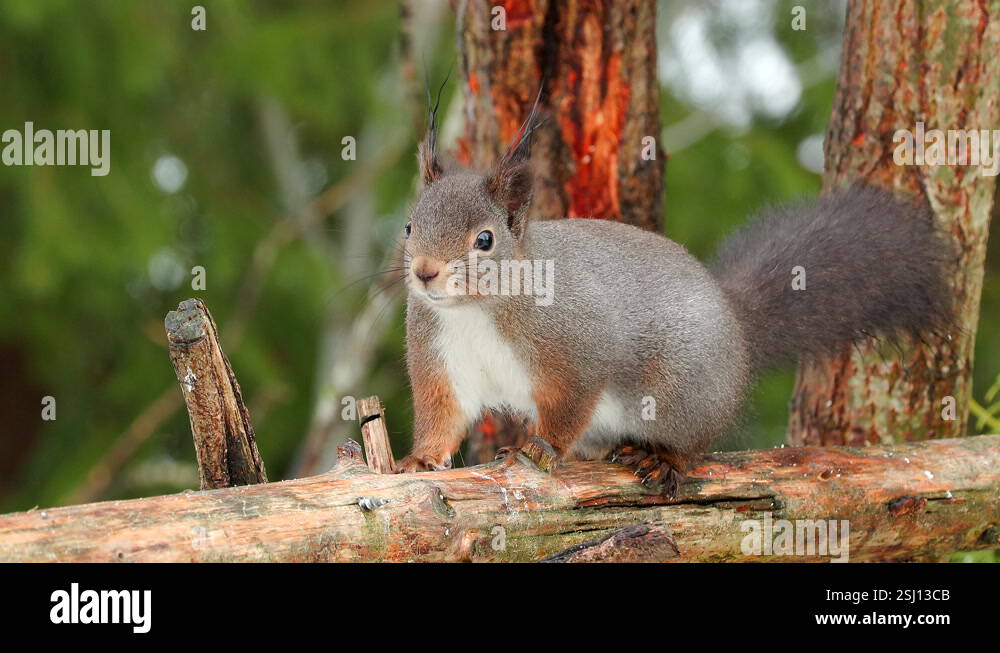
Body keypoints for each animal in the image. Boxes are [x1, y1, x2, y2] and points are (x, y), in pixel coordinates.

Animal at [394, 107, 954, 495]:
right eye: (408, 226)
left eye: (485, 240)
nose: (424, 272)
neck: (473, 312)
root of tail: (738, 335)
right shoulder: (440, 358)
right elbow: (443, 414)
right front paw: (420, 460)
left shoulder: (577, 348)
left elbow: (571, 400)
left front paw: (542, 447)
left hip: (678, 393)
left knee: (695, 443)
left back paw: (661, 458)